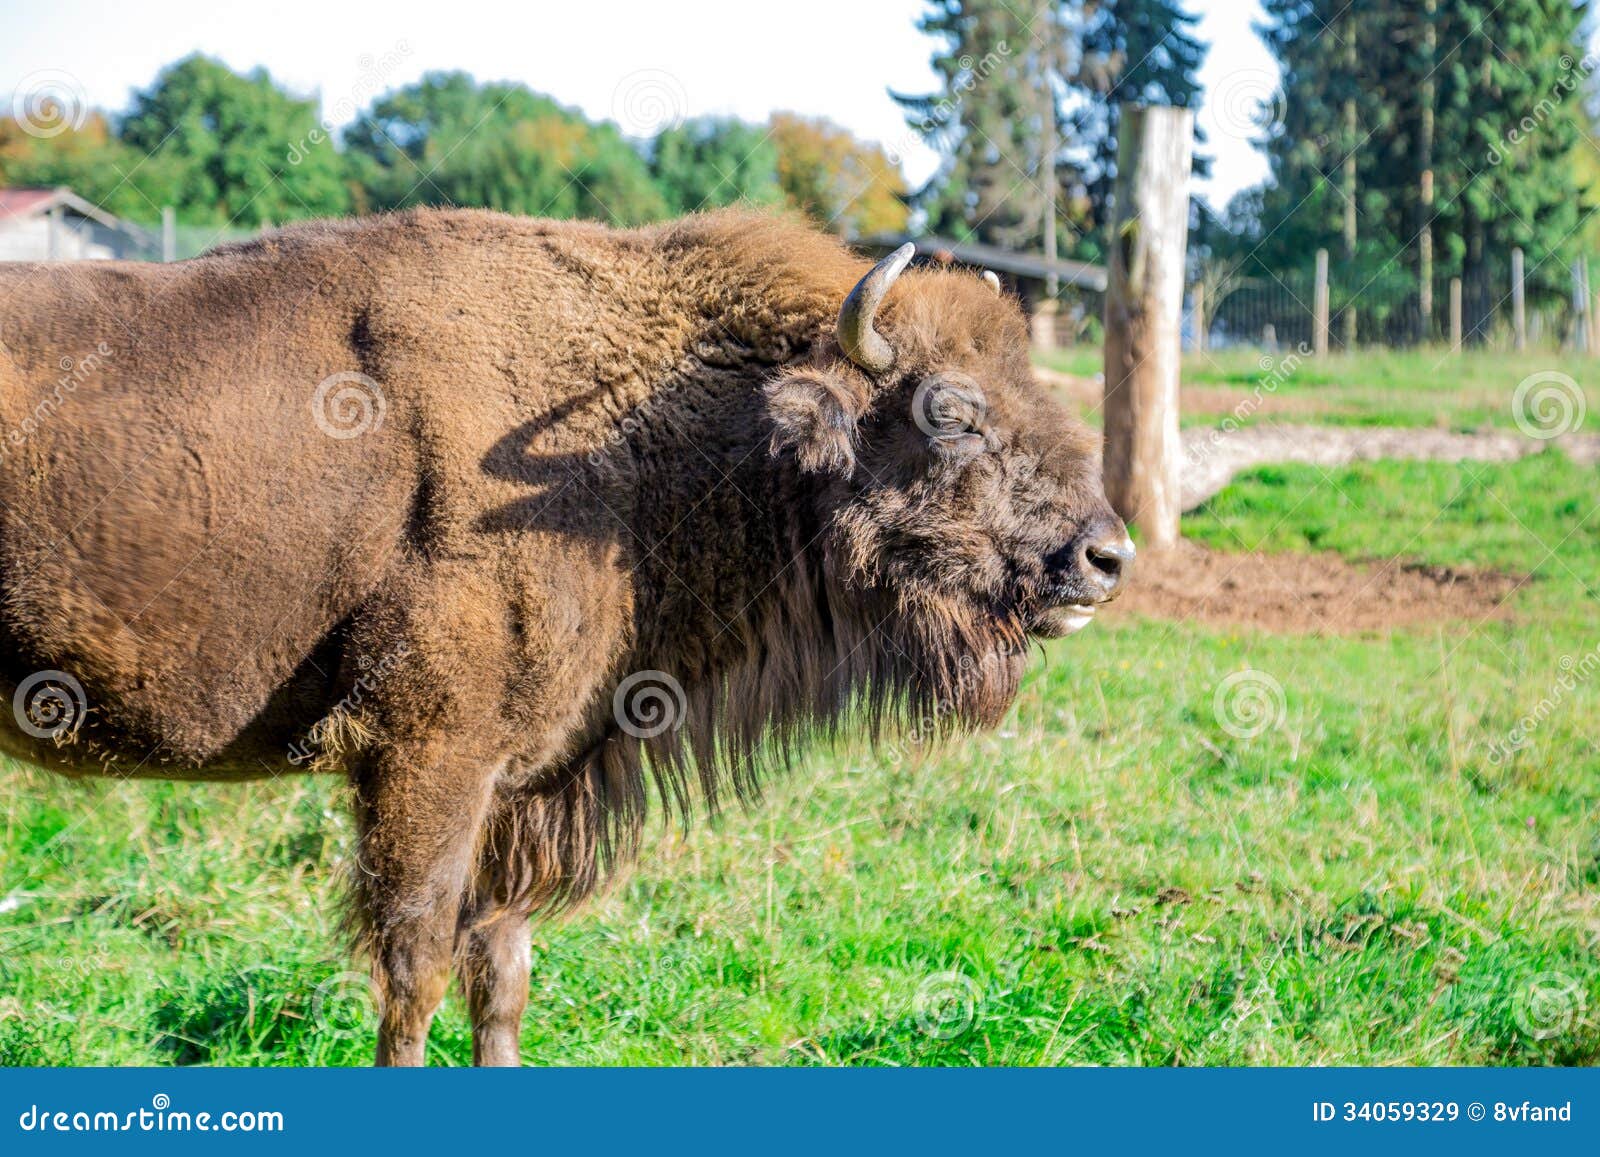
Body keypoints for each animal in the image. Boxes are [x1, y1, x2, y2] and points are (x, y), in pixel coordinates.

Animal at [0, 209, 1131, 1064]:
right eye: (951, 412)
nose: (1105, 556)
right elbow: (414, 975)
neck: (636, 433)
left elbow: (500, 971)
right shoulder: (426, 764)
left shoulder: (520, 785)